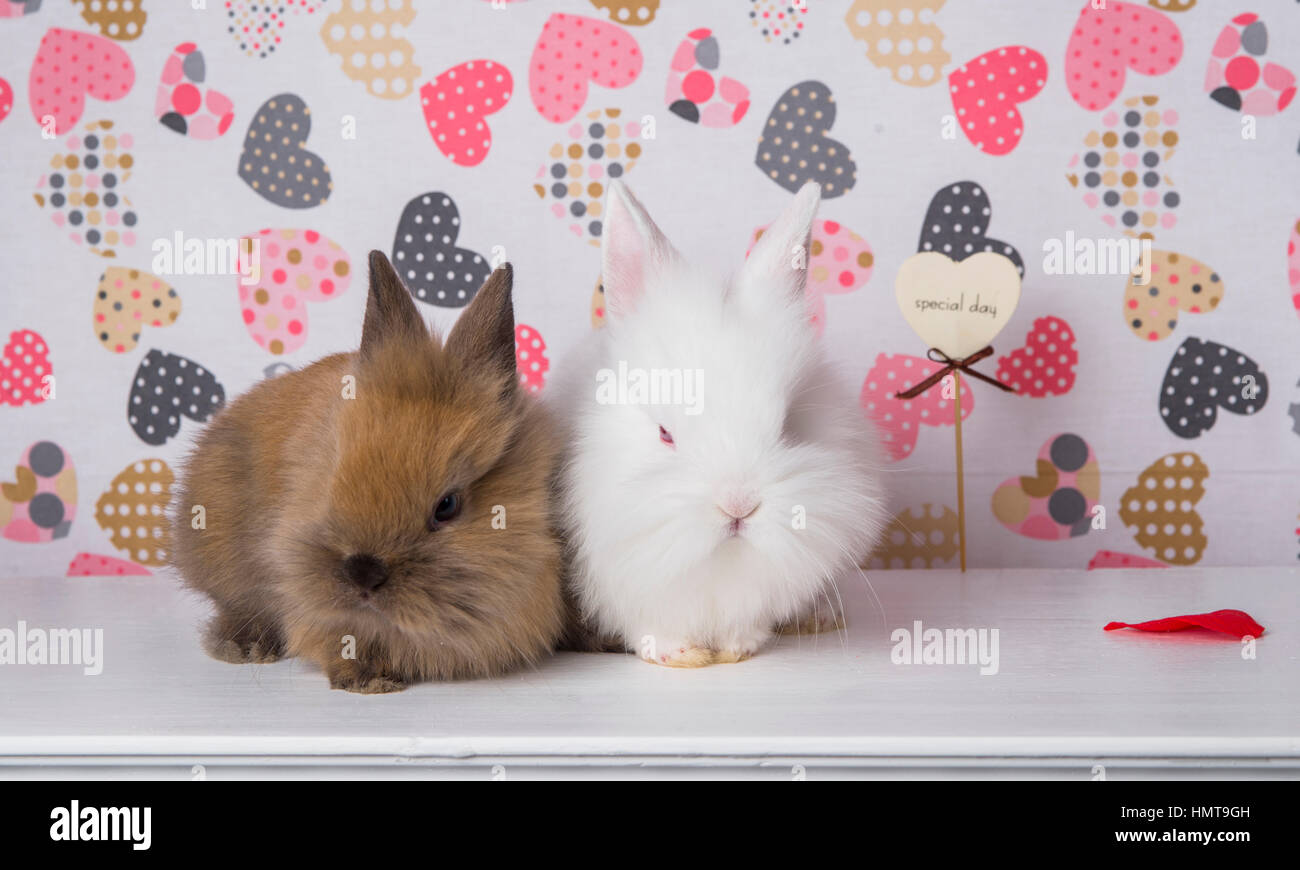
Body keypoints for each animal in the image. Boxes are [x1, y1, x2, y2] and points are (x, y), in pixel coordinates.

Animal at [551, 181, 888, 667]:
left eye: (788, 425)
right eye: (665, 433)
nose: (738, 506)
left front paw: (736, 648)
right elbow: (647, 626)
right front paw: (681, 655)